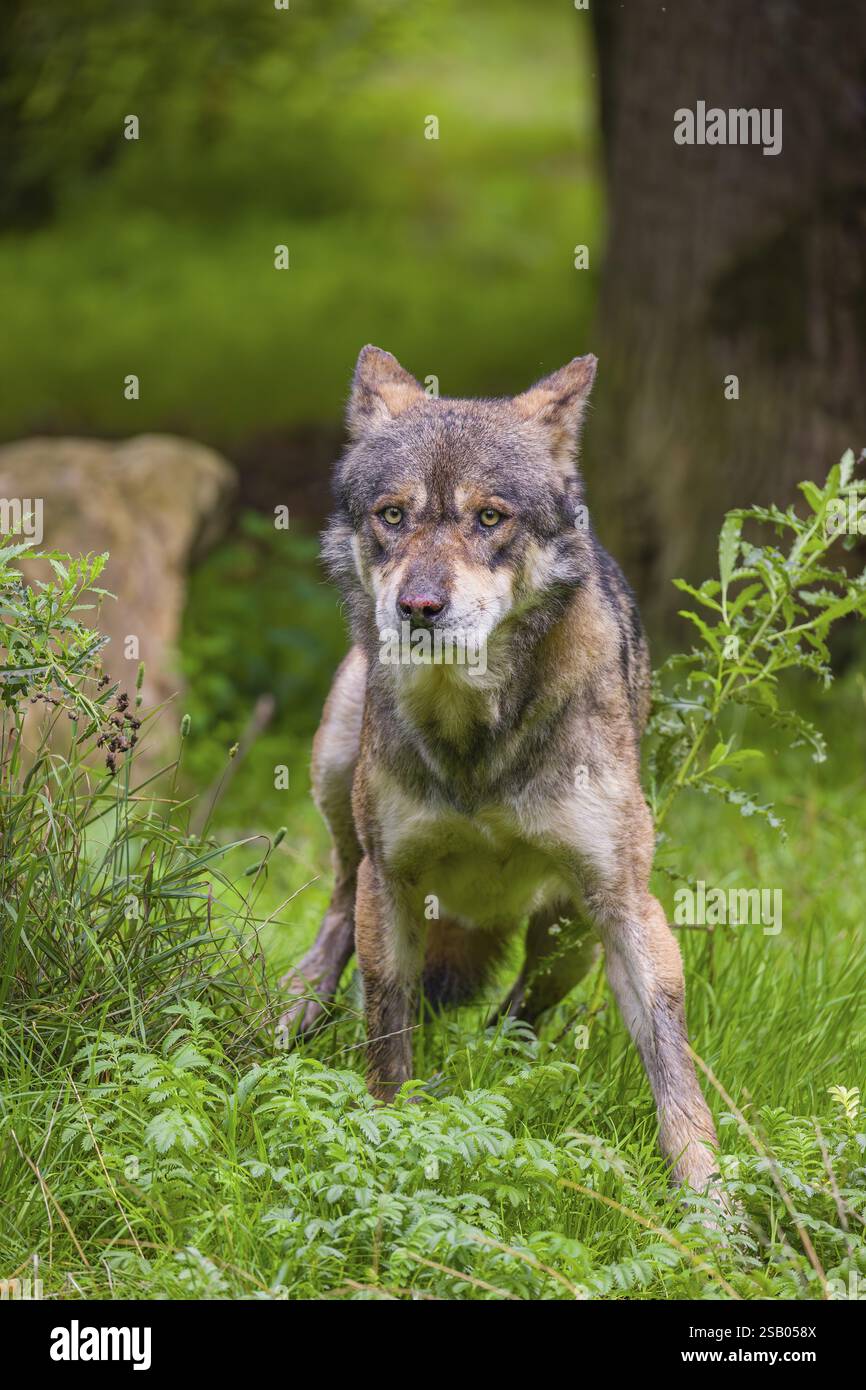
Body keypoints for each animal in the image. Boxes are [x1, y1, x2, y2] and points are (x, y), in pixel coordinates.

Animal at [280, 345, 720, 1192]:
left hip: (571, 935)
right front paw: (388, 1141)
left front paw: (709, 1197)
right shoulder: (392, 884)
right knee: (333, 924)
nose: (419, 608)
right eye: (392, 515)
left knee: (514, 1018)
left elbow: (673, 1066)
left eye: (490, 518)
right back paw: (280, 1025)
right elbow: (387, 1042)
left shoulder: (622, 902)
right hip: (343, 788)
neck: (472, 737)